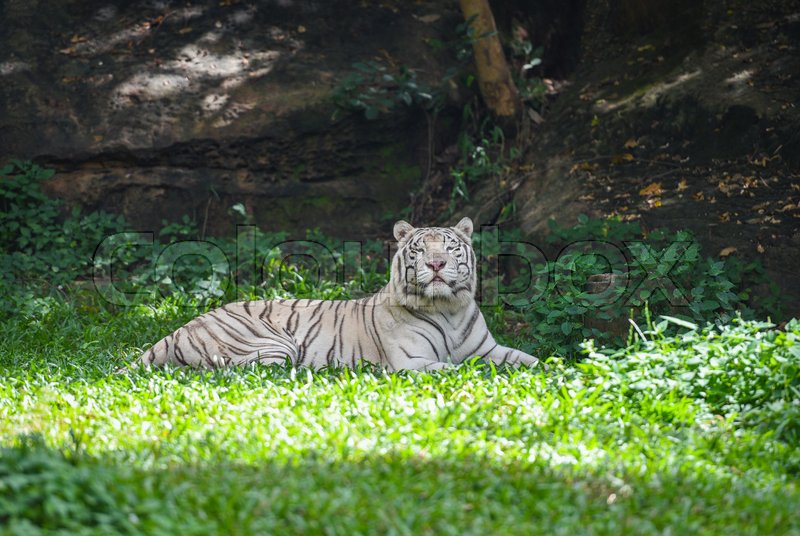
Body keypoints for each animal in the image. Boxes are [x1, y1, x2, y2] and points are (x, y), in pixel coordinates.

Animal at [133, 217, 539, 371]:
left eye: (451, 247)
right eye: (420, 249)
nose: (437, 264)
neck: (448, 308)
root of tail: (182, 326)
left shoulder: (488, 349)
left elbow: (531, 360)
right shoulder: (412, 361)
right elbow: (461, 369)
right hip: (271, 347)